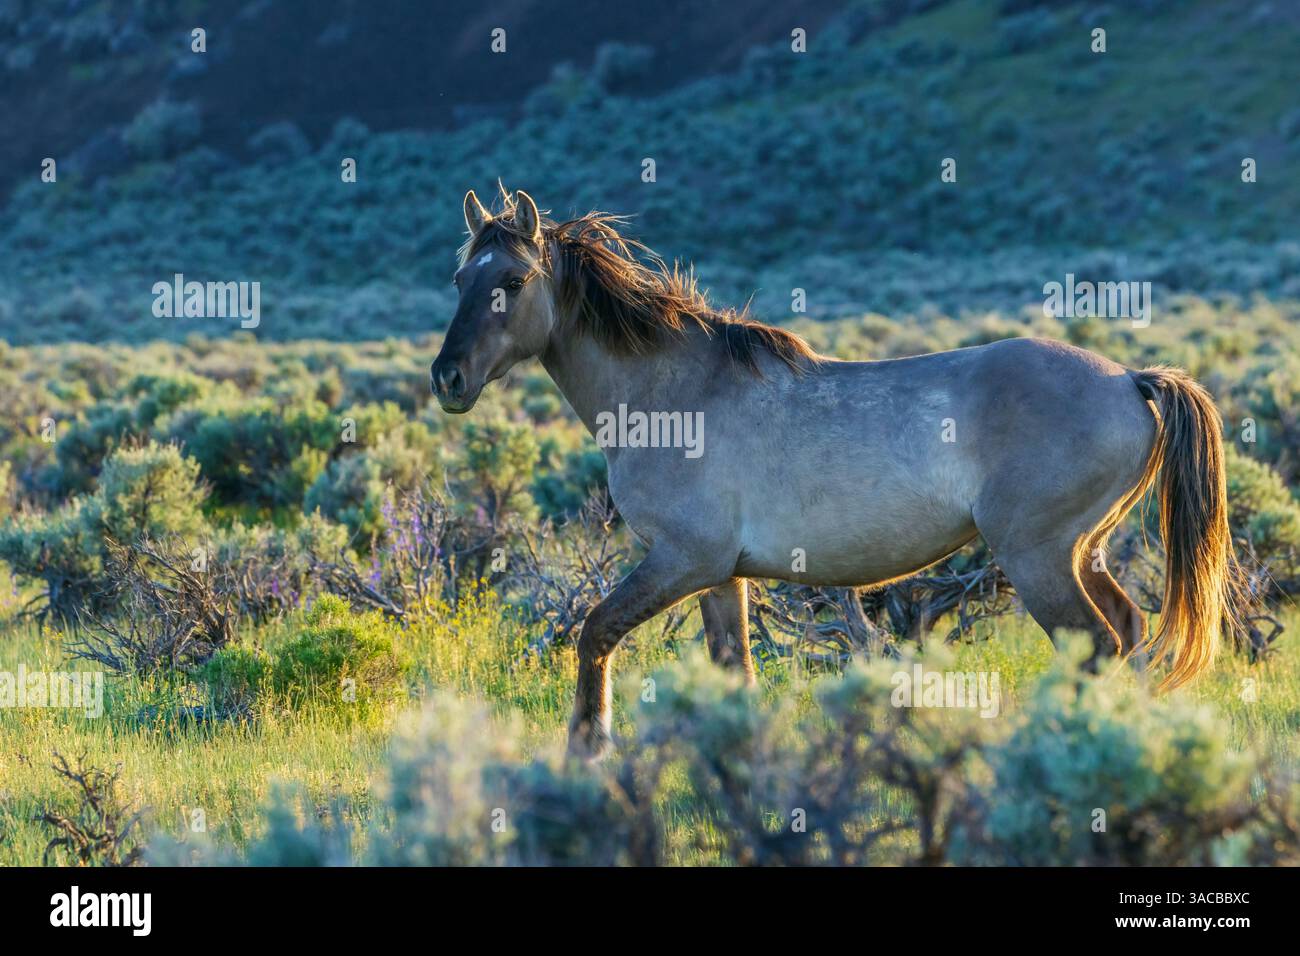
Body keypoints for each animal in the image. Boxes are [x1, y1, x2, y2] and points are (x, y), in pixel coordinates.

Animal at [431, 187, 1234, 760]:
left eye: (512, 279)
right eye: (459, 277)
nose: (449, 377)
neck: (672, 394)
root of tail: (1130, 380)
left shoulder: (680, 560)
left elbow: (595, 632)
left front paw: (588, 751)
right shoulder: (720, 575)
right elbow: (733, 671)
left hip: (1039, 557)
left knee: (1095, 644)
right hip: (1083, 550)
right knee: (1129, 631)